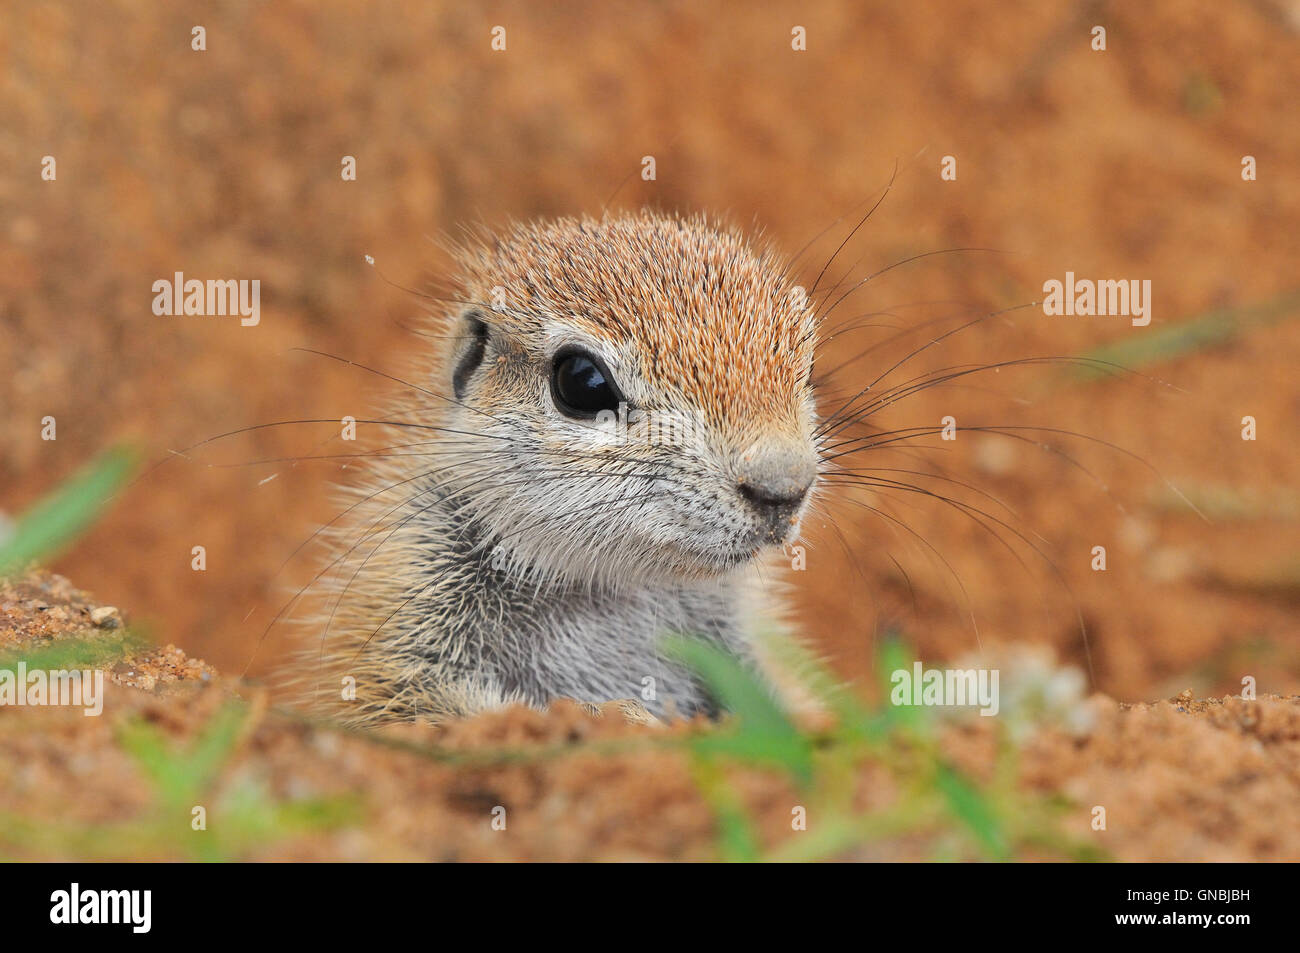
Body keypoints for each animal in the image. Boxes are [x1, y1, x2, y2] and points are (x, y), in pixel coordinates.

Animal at [295, 210, 822, 725]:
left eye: (809, 367)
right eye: (583, 382)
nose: (784, 488)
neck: (611, 587)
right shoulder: (405, 596)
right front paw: (612, 716)